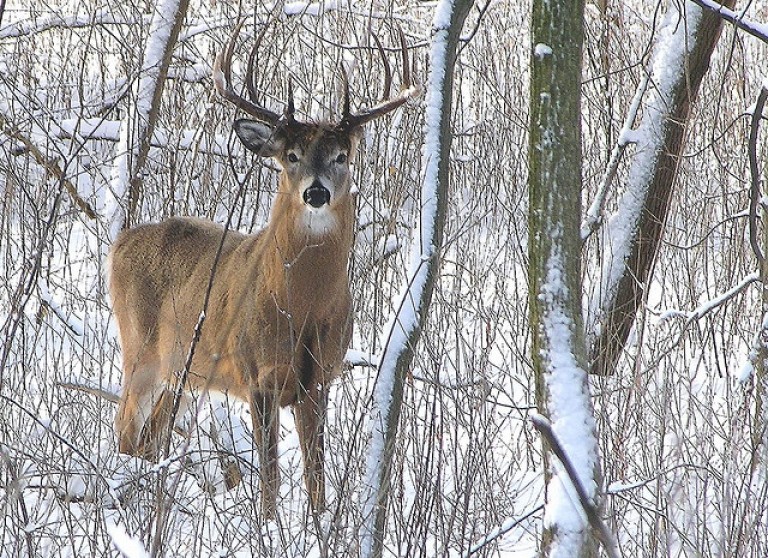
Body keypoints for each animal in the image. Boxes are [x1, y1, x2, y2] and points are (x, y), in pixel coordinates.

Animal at [108, 21, 419, 517]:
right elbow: (269, 480)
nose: (316, 192)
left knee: (150, 439)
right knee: (123, 430)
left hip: (183, 371)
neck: (300, 305)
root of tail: (120, 242)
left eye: (342, 155)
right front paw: (269, 525)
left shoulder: (319, 380)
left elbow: (316, 479)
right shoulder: (255, 373)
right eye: (290, 155)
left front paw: (317, 523)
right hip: (139, 349)